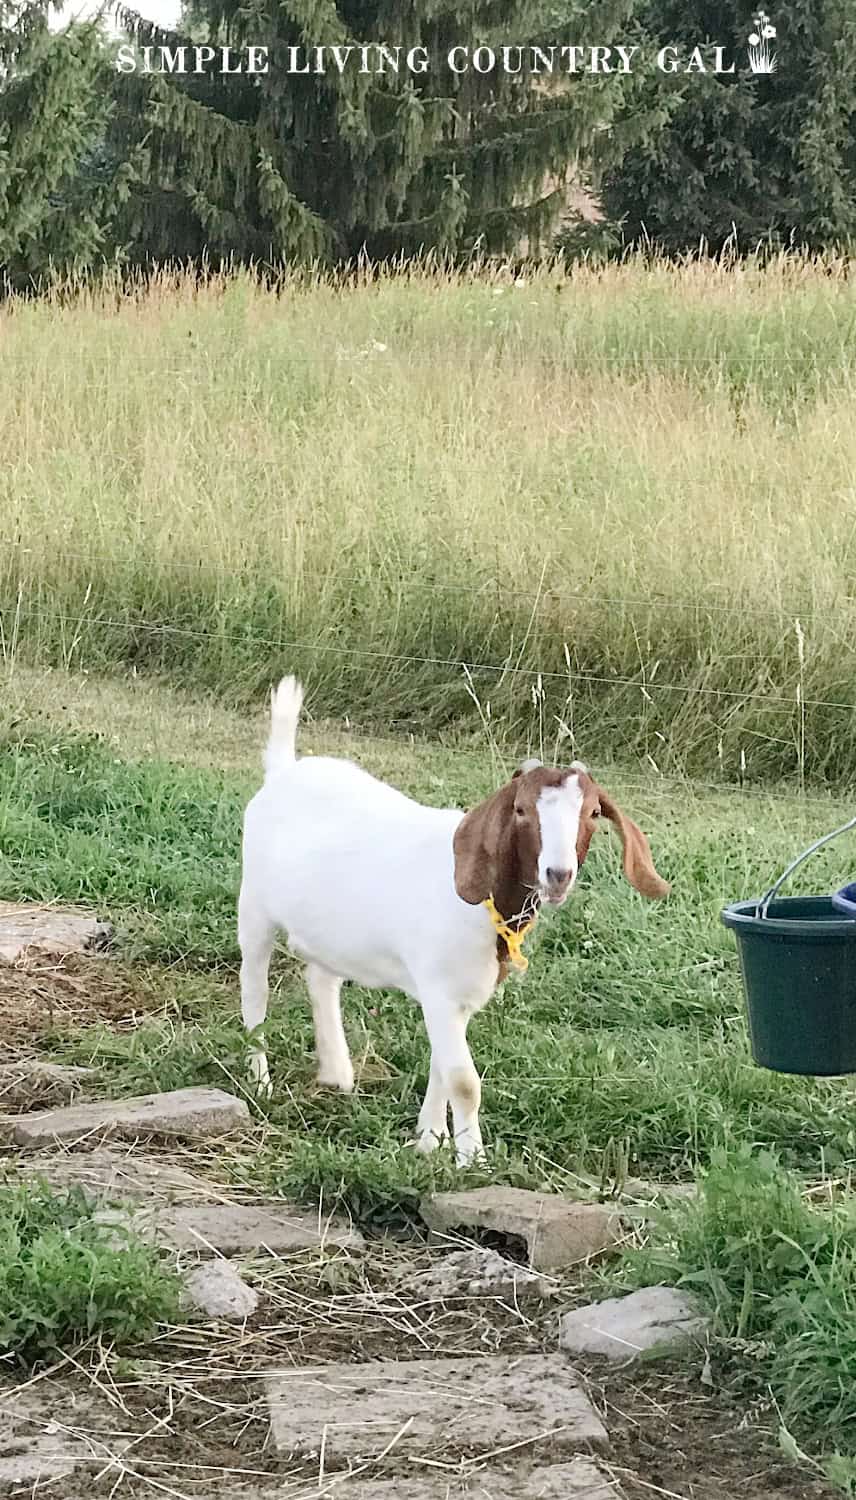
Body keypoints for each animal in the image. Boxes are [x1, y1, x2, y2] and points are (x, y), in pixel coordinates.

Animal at [238, 676, 670, 1162]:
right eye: (521, 810)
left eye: (593, 813)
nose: (558, 874)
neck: (487, 908)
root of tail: (283, 771)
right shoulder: (440, 989)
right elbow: (463, 1081)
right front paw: (471, 1158)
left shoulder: (455, 997)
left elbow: (442, 1066)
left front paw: (429, 1140)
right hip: (254, 906)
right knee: (255, 990)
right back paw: (261, 1080)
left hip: (332, 929)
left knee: (321, 978)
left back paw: (338, 1072)